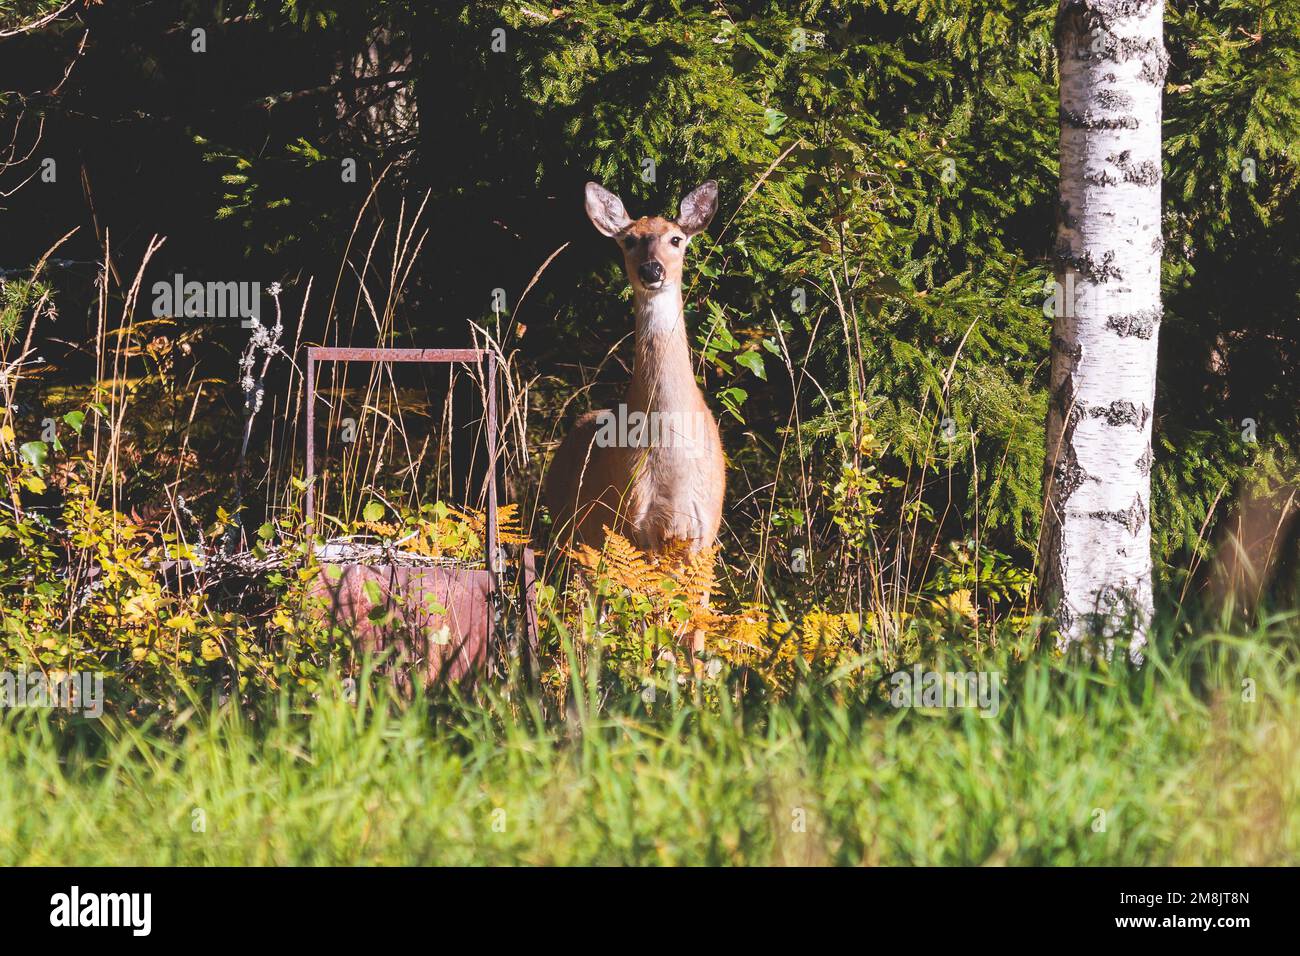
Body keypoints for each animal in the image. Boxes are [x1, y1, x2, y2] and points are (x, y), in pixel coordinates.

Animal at [545, 181, 726, 658]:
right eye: (629, 240)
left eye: (676, 239)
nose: (652, 269)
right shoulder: (636, 525)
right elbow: (653, 627)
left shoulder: (705, 530)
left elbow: (694, 630)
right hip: (572, 535)